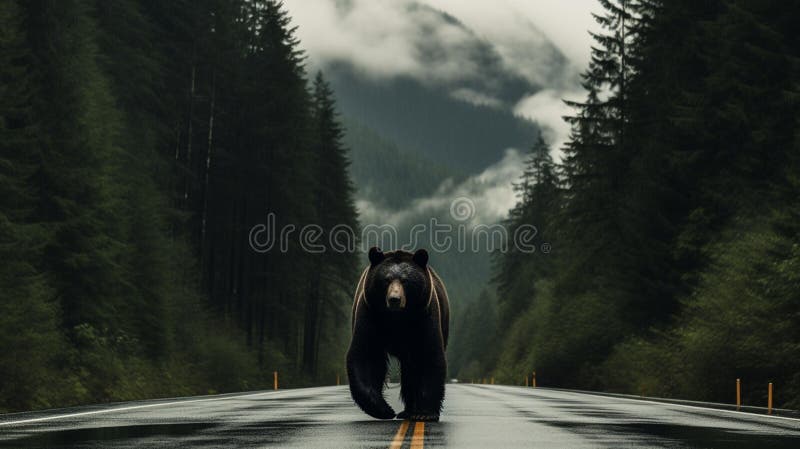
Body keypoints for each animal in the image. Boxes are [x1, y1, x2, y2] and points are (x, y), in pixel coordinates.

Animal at [346, 247, 450, 422]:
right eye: (386, 280)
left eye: (405, 280)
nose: (394, 298)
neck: (397, 319)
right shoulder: (370, 315)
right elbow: (365, 356)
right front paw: (384, 409)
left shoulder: (424, 317)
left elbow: (429, 356)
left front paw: (424, 413)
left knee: (412, 370)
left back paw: (409, 411)